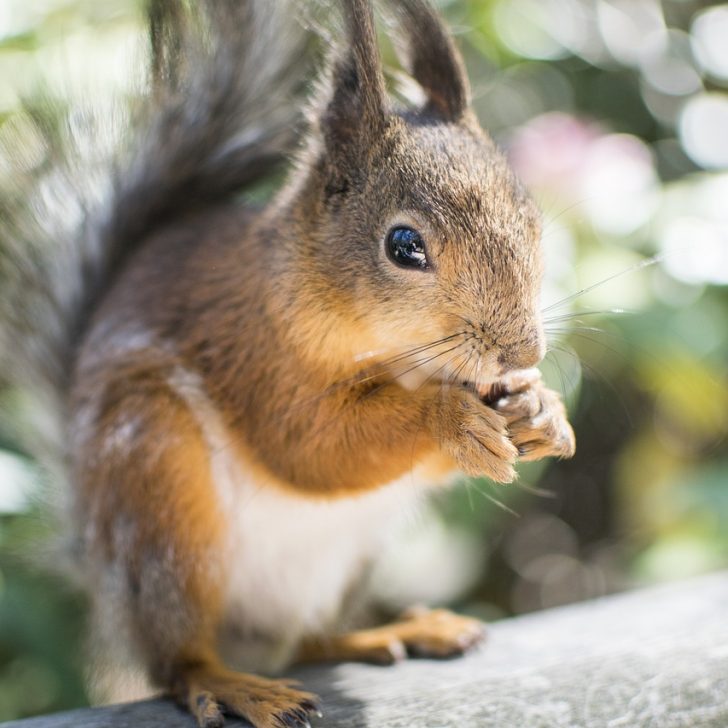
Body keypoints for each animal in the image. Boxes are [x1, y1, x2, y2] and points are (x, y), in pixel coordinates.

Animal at [0, 0, 576, 727]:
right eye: (404, 246)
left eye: (531, 218)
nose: (523, 352)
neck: (400, 357)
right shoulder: (254, 353)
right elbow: (309, 447)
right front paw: (449, 417)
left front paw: (544, 411)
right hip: (156, 492)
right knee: (176, 659)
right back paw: (232, 683)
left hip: (346, 562)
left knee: (305, 641)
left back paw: (389, 632)